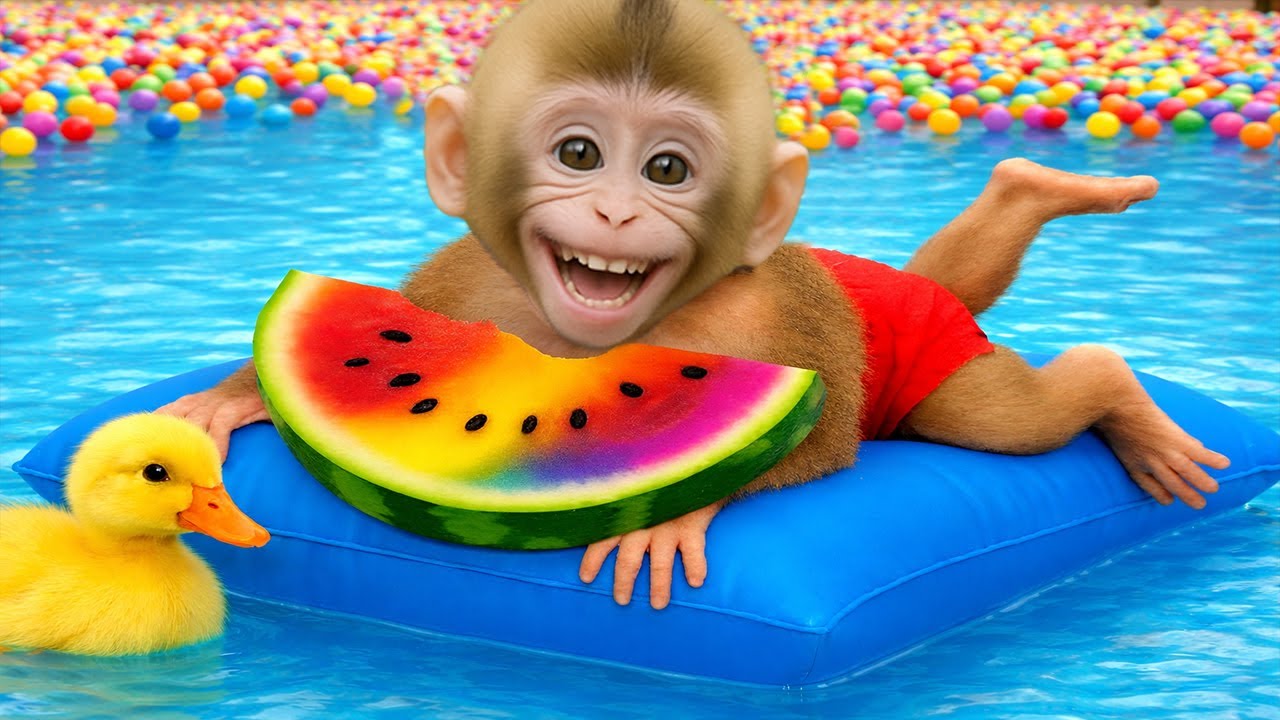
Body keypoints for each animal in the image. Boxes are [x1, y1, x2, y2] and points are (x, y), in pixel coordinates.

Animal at [160, 0, 1229, 612]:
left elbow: (823, 430)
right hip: (920, 301)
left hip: (948, 375)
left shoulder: (763, 322)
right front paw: (233, 395)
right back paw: (1027, 186)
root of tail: (924, 298)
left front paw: (673, 520)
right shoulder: (470, 280)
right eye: (578, 153)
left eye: (668, 170)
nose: (616, 211)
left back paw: (1117, 388)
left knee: (1023, 410)